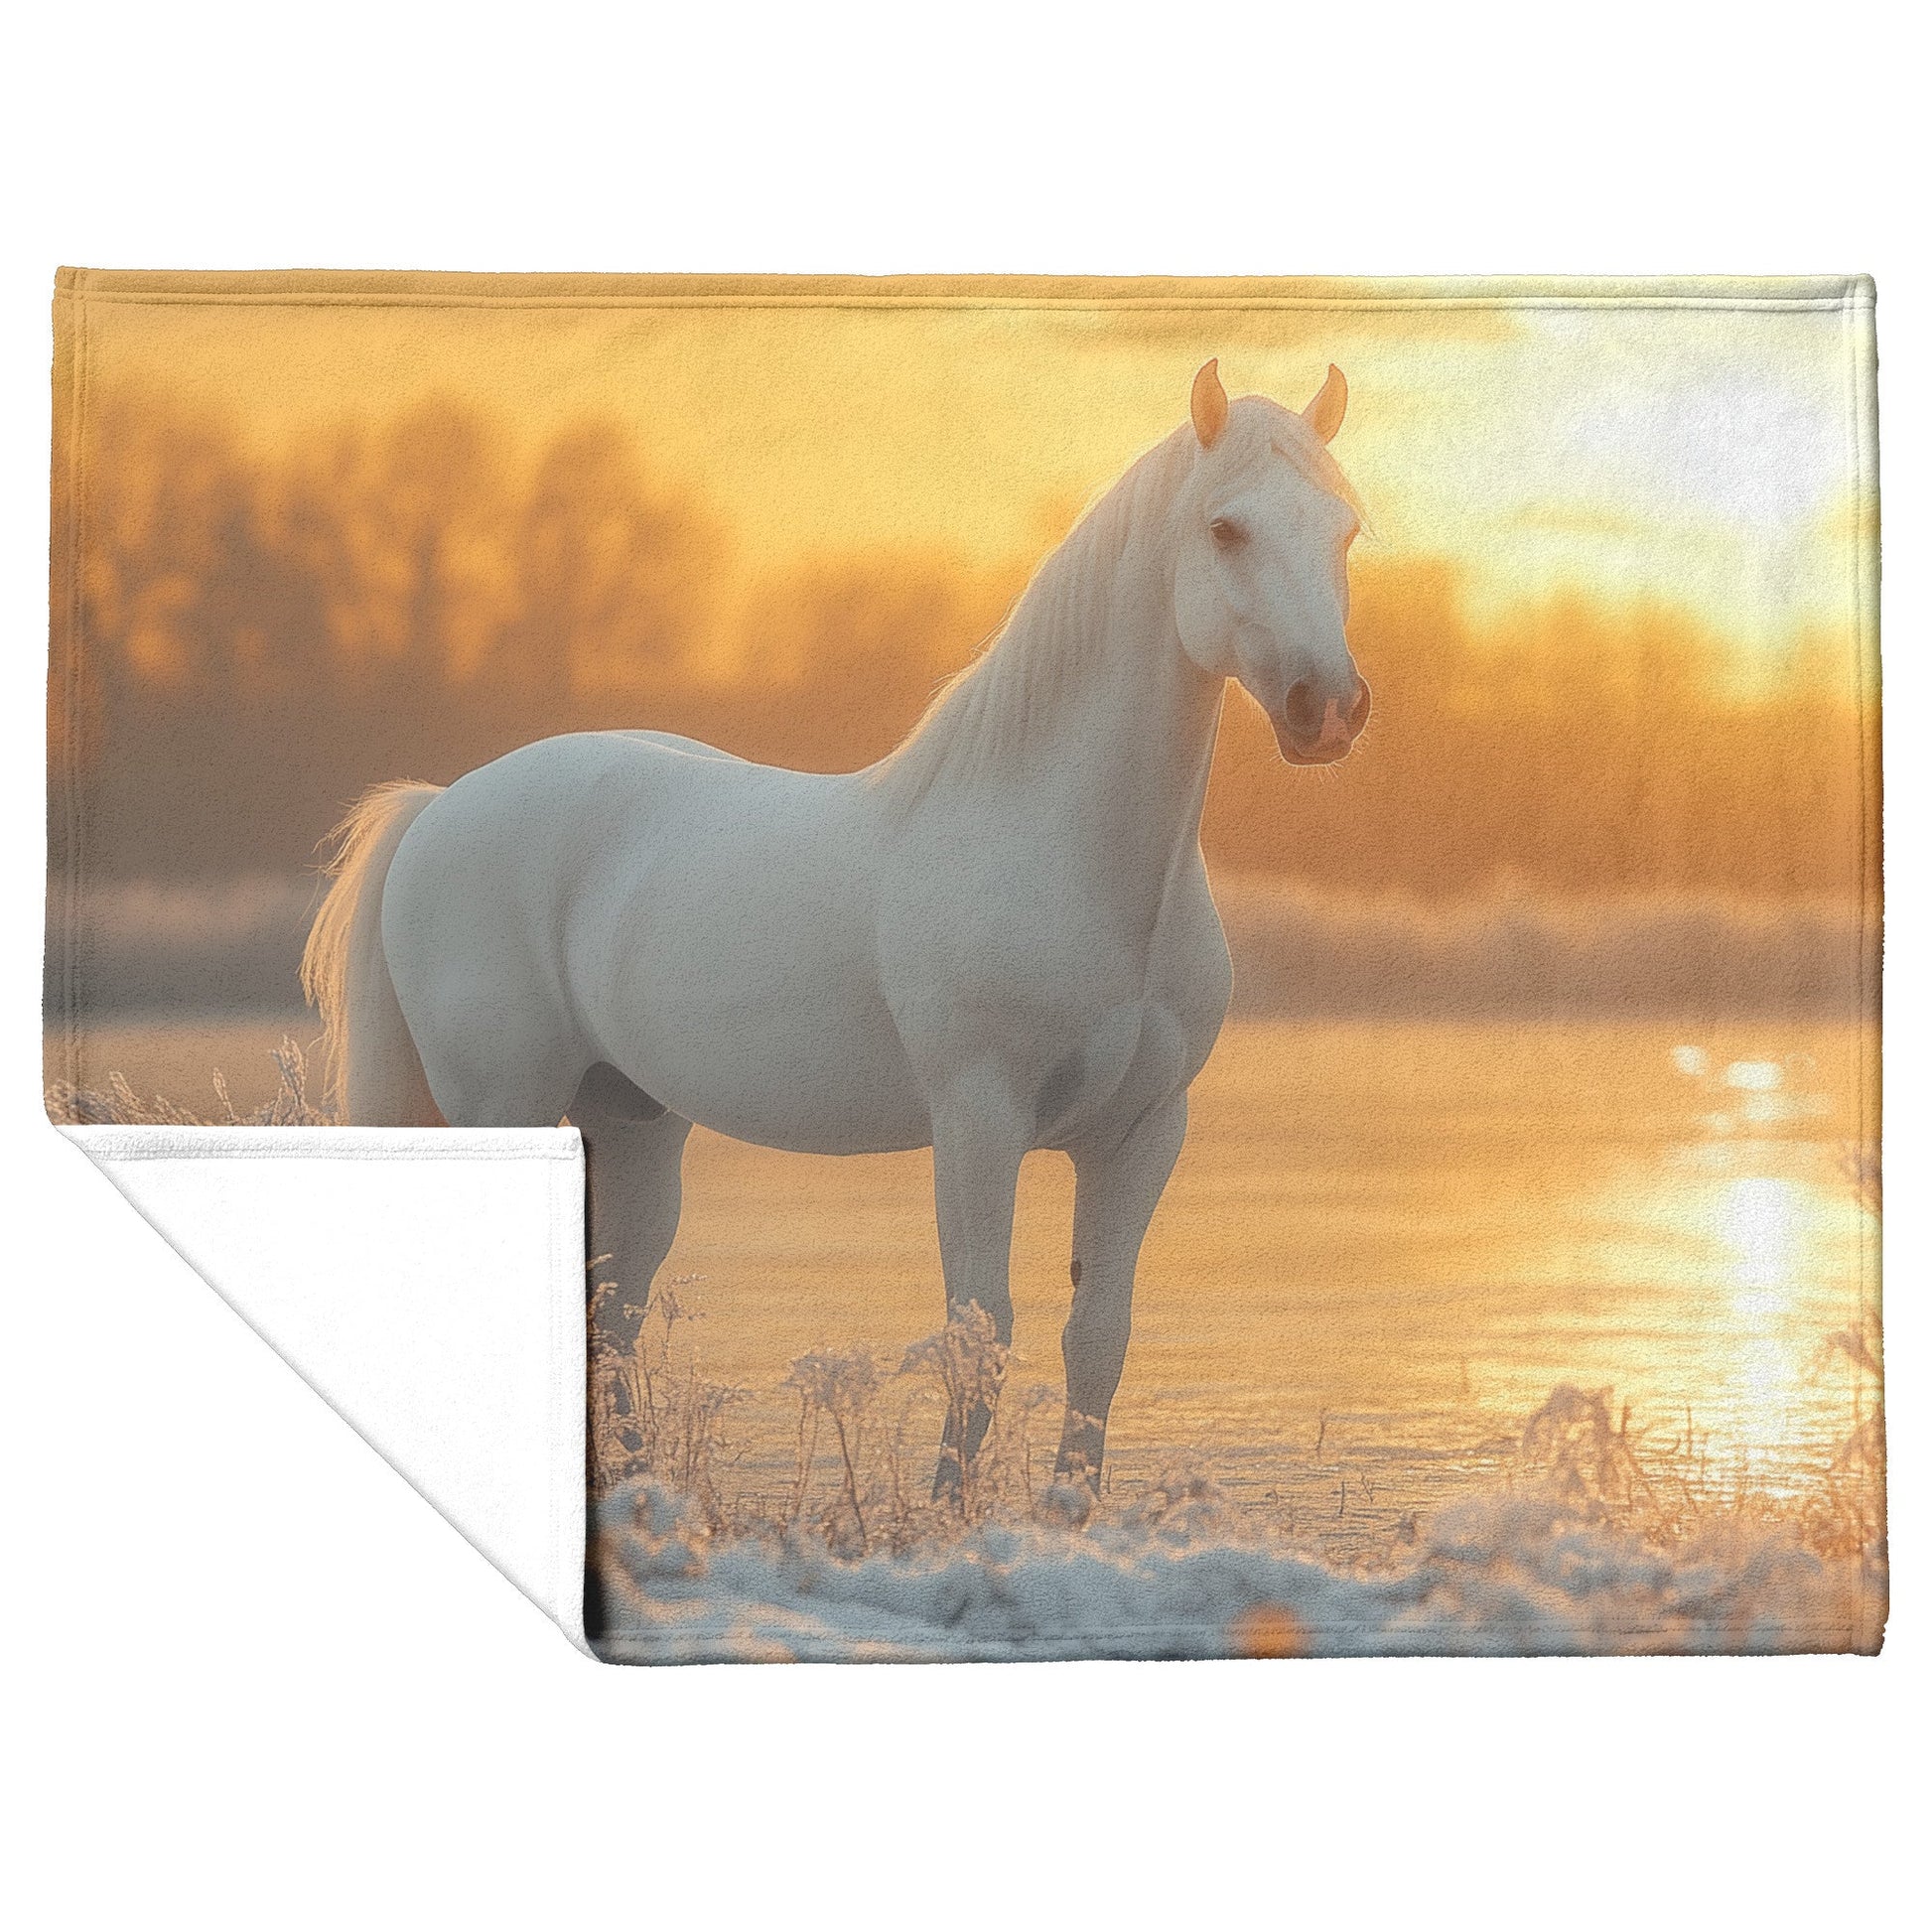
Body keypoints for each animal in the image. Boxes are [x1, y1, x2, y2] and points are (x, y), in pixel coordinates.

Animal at [301, 358, 1371, 1502]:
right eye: (1226, 528)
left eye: (1344, 527)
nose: (1328, 708)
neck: (1070, 853)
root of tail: (439, 805)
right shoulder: (978, 1116)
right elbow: (978, 1330)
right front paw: (949, 1519)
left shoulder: (1143, 1132)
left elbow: (1099, 1334)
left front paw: (1067, 1514)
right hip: (506, 1101)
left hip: (632, 1120)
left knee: (612, 1313)